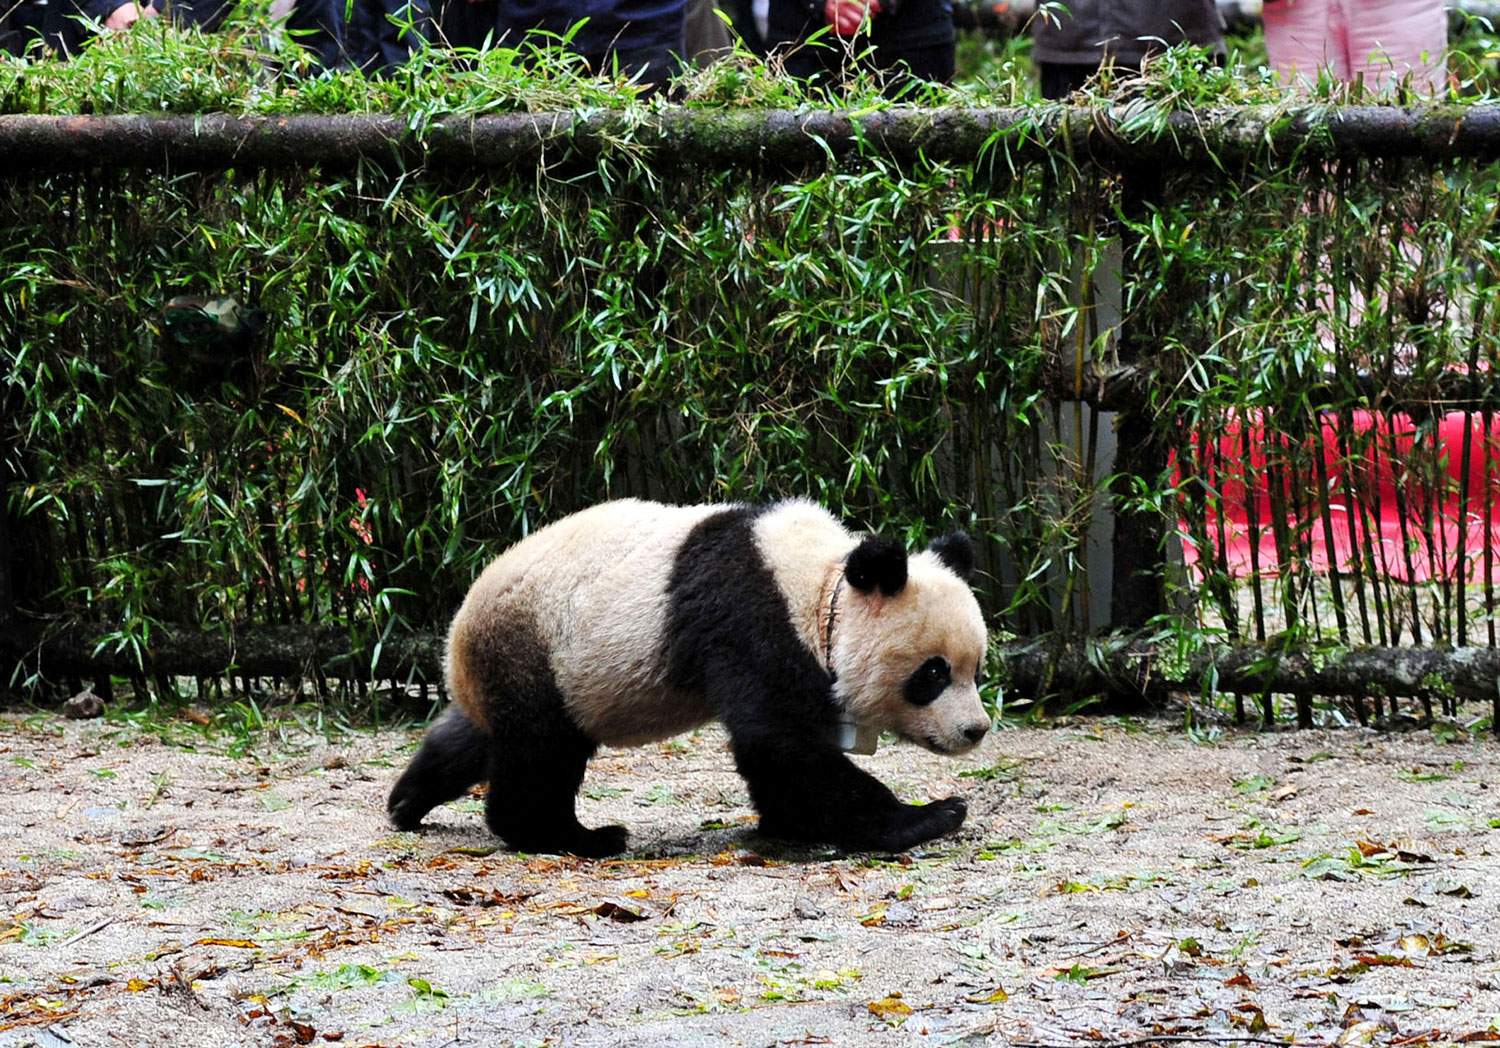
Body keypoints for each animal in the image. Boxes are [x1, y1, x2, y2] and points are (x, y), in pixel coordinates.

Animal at [387, 498, 990, 857]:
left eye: (977, 669)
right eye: (932, 674)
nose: (975, 731)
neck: (822, 587)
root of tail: (456, 635)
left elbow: (783, 753)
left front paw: (790, 825)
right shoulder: (747, 618)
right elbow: (777, 741)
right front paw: (930, 816)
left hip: (510, 668)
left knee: (475, 735)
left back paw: (407, 802)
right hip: (540, 651)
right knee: (541, 752)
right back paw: (575, 836)